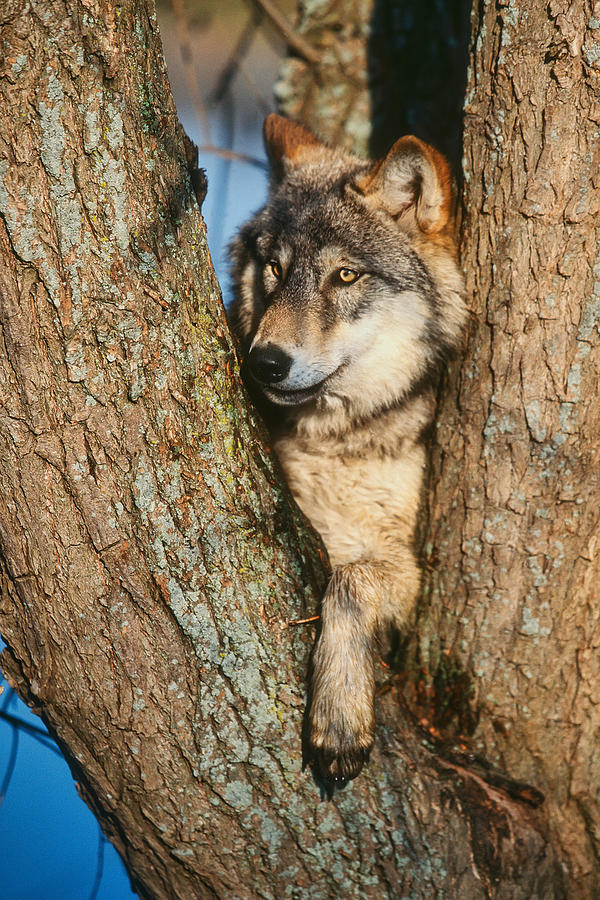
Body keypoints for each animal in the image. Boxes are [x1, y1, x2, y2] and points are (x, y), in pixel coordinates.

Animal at [229, 114, 466, 788]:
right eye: (275, 268)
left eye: (345, 276)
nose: (265, 363)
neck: (338, 444)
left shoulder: (411, 573)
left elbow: (352, 581)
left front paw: (337, 720)